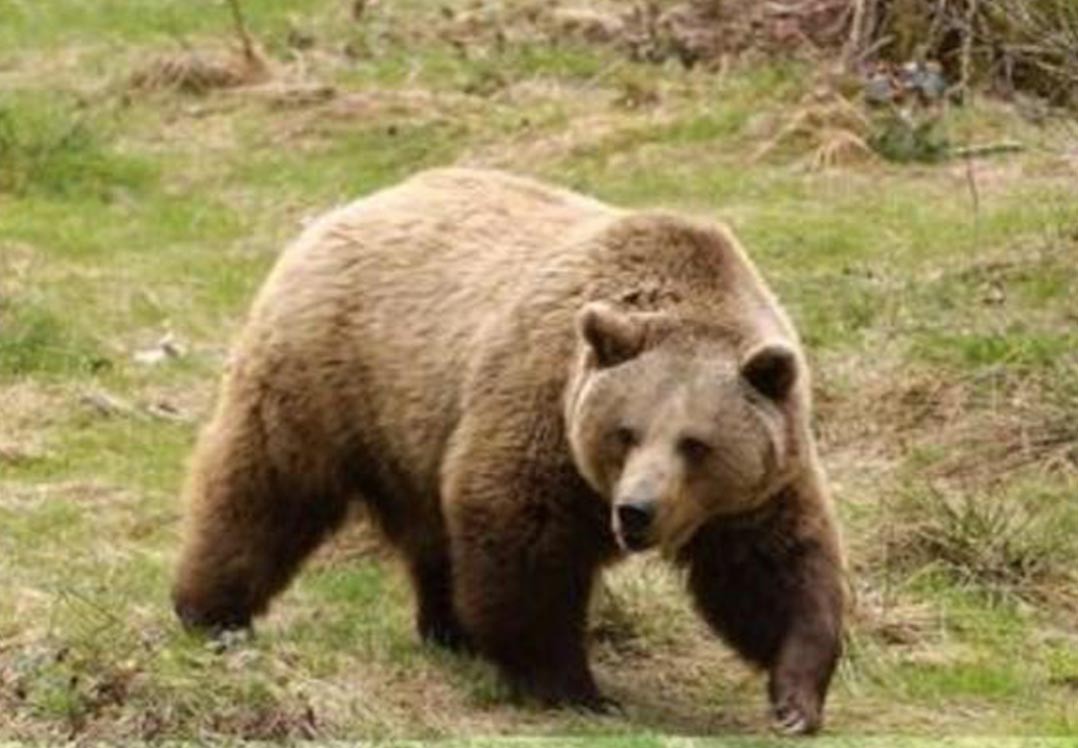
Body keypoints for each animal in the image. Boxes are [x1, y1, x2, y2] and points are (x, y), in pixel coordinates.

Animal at [171, 168, 845, 734]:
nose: (636, 511)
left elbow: (773, 567)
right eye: (626, 431)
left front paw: (795, 698)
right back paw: (211, 611)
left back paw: (448, 629)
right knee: (265, 487)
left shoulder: (758, 482)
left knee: (429, 532)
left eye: (696, 444)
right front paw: (573, 688)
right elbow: (522, 542)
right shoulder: (541, 407)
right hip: (328, 373)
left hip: (415, 430)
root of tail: (346, 209)